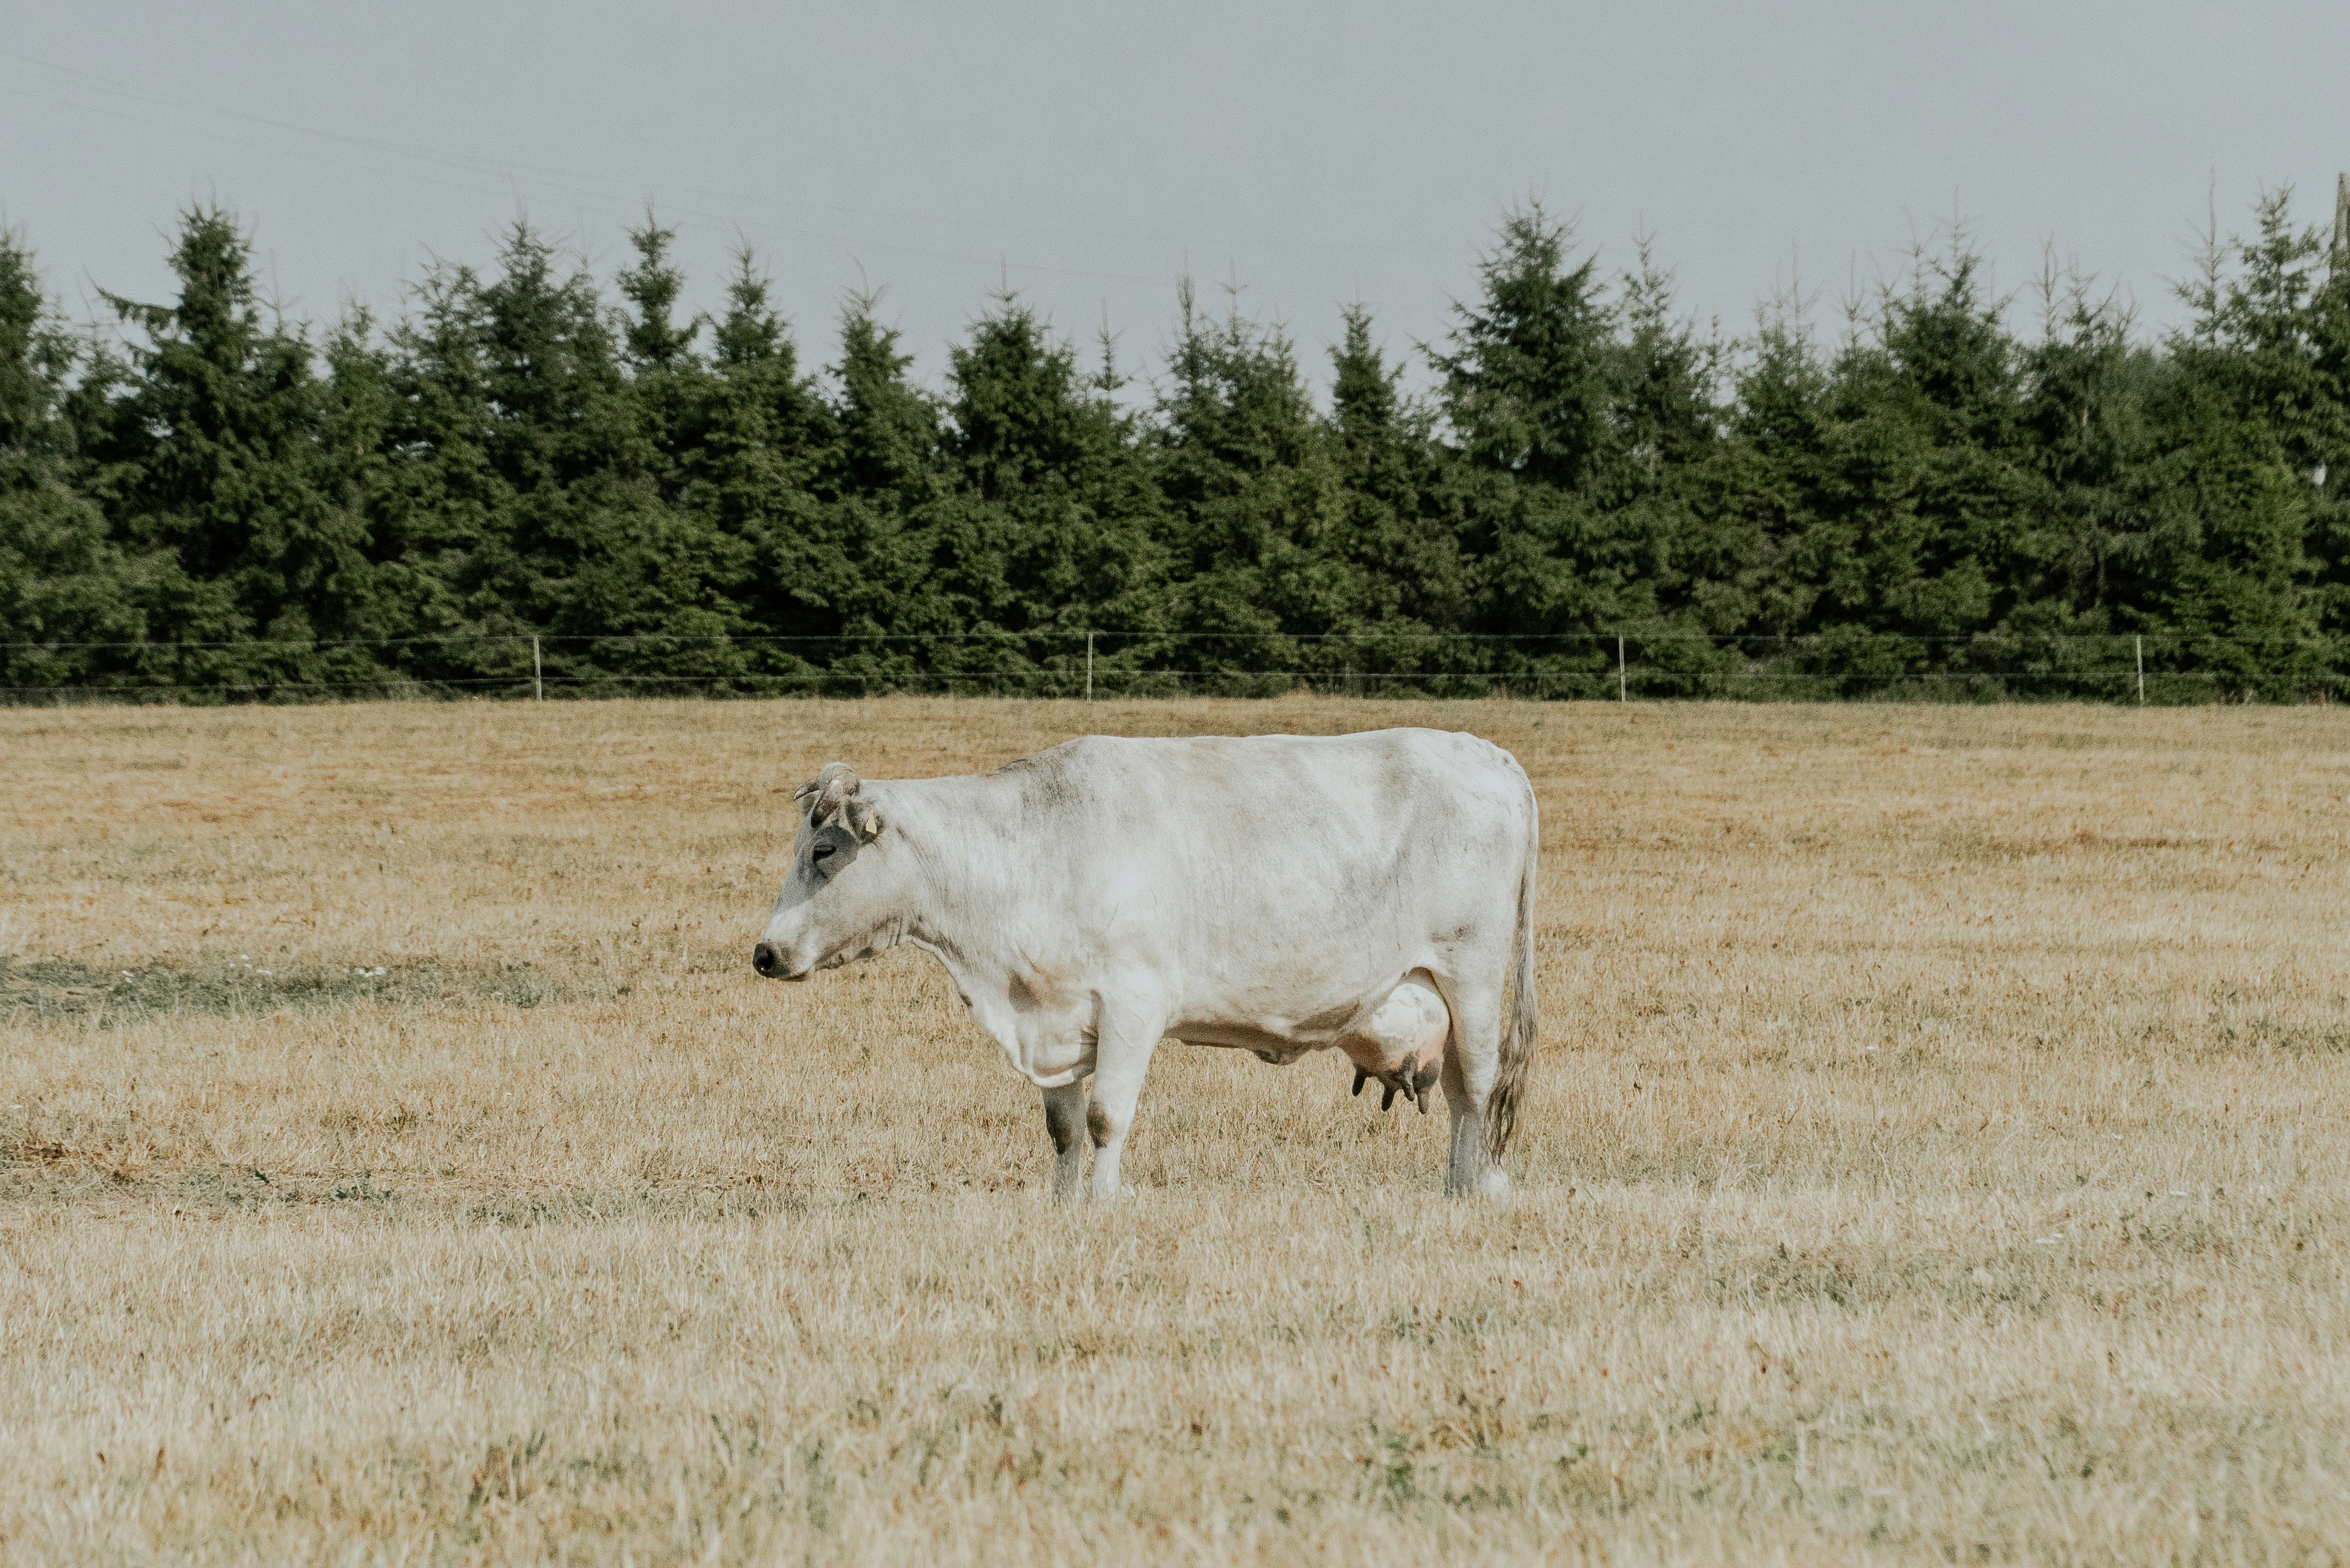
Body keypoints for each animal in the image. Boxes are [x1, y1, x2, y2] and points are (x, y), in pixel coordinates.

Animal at [751, 728, 1538, 1199]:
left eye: (823, 850)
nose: (764, 951)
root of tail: (1487, 753)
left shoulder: (1132, 1004)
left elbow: (1106, 1115)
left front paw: (1103, 1203)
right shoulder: (1059, 1015)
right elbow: (1064, 1126)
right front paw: (1063, 1203)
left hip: (1472, 976)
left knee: (1477, 1089)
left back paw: (1477, 1186)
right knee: (1460, 1090)